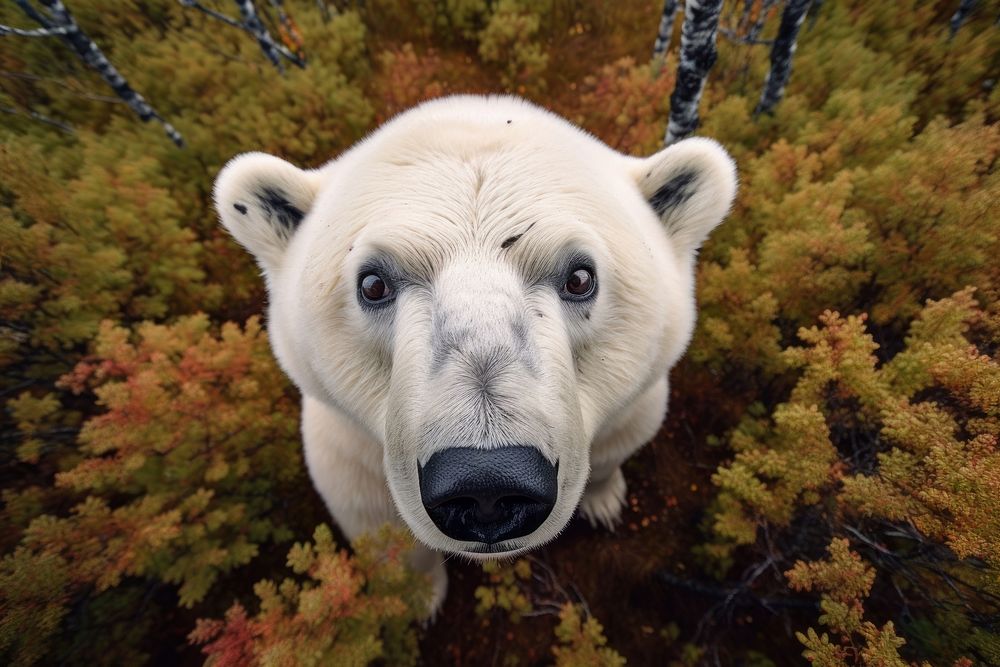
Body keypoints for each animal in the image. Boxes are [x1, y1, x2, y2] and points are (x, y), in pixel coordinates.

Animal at [215, 95, 737, 614]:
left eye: (580, 277)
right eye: (373, 283)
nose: (487, 484)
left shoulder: (638, 397)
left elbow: (620, 441)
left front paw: (605, 502)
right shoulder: (347, 442)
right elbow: (378, 520)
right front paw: (420, 599)